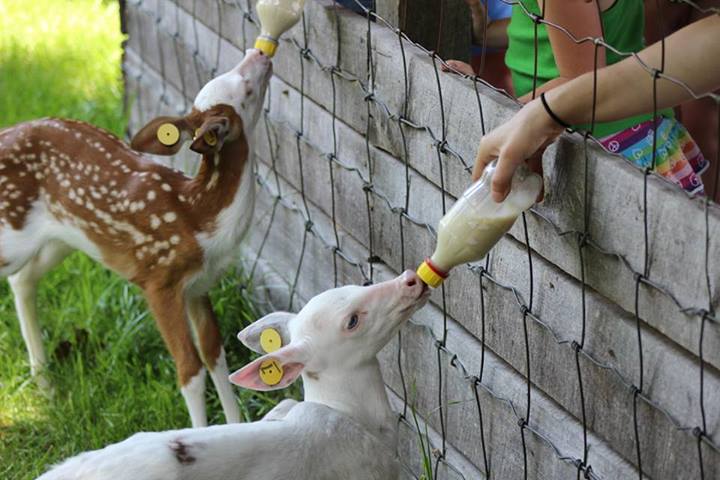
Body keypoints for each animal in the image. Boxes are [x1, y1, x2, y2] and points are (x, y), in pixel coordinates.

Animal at [0, 48, 272, 427]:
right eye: (244, 88)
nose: (258, 51)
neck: (200, 217)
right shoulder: (159, 280)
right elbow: (190, 370)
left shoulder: (199, 285)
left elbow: (215, 355)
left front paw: (235, 430)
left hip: (61, 239)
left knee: (23, 279)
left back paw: (46, 387)